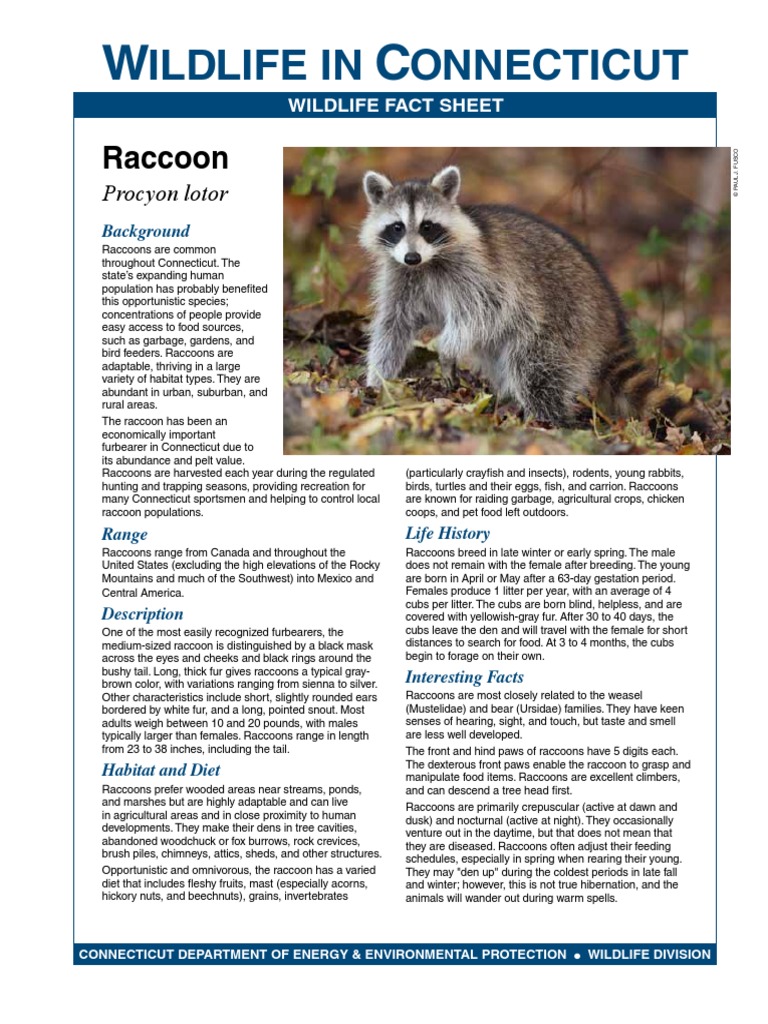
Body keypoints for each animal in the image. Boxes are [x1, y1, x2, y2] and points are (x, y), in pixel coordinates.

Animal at [360, 165, 711, 435]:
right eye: (397, 227)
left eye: (428, 227)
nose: (412, 256)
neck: (429, 262)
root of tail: (610, 316)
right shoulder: (401, 276)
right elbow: (393, 325)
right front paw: (378, 380)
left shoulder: (481, 273)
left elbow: (483, 313)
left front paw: (446, 347)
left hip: (566, 322)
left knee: (534, 367)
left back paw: (548, 419)